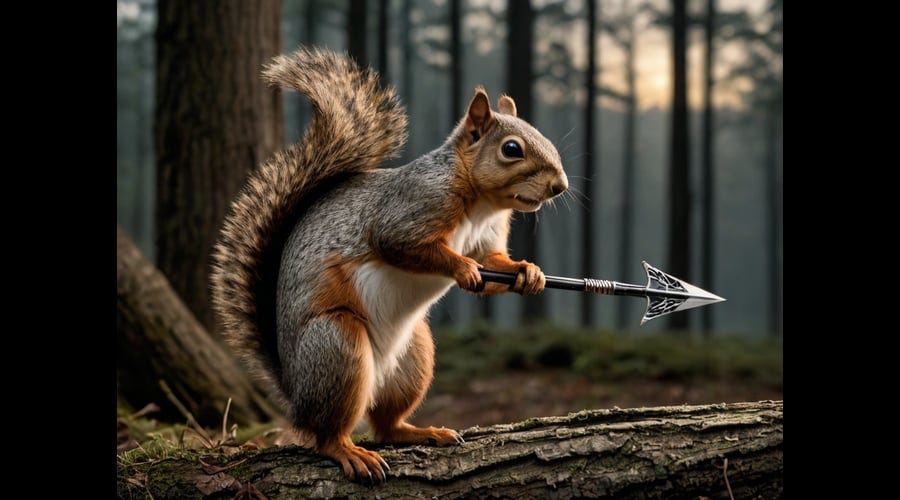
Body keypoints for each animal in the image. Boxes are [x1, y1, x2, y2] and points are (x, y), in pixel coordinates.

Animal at [211, 47, 568, 482]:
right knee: (327, 434)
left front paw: (527, 272)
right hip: (338, 345)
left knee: (385, 426)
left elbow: (494, 262)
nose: (561, 186)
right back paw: (349, 452)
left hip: (415, 357)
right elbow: (402, 244)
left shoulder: (488, 237)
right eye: (511, 149)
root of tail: (294, 395)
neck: (481, 205)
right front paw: (462, 269)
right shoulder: (411, 208)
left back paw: (422, 432)